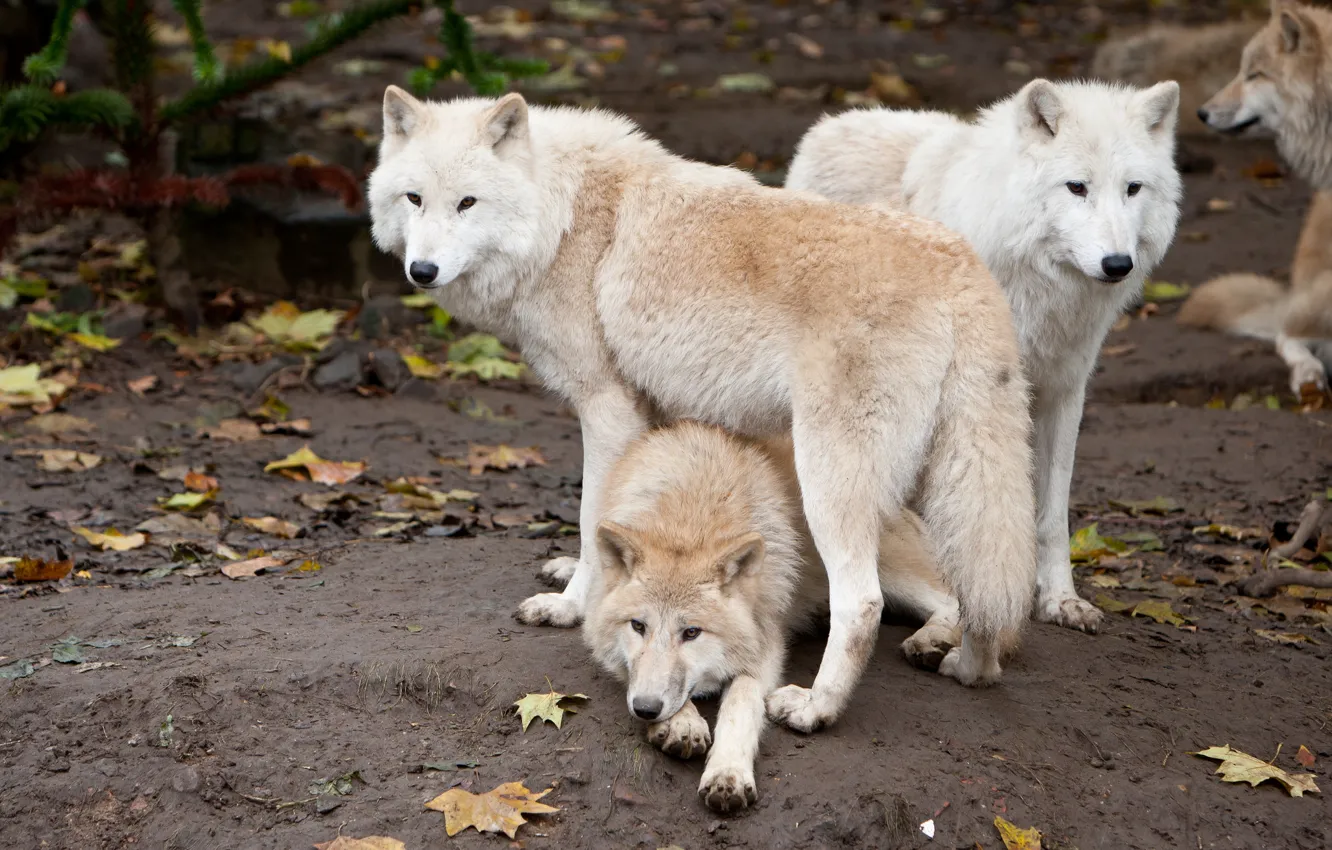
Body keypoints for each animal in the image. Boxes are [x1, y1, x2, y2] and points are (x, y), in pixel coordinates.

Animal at [368, 86, 1037, 732]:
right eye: (415, 198)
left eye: (468, 203)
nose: (421, 270)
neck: (564, 221)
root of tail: (961, 266)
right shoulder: (659, 414)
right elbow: (632, 526)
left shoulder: (607, 409)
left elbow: (590, 516)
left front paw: (571, 605)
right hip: (947, 480)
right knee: (973, 588)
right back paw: (963, 660)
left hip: (832, 481)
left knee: (866, 600)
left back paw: (816, 708)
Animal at [584, 421, 963, 811]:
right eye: (638, 626)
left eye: (691, 632)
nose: (646, 709)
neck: (690, 515)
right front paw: (682, 723)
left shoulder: (765, 647)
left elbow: (741, 704)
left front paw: (728, 772)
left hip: (879, 571)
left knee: (953, 601)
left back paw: (932, 641)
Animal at [786, 78, 1182, 634]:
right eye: (1076, 187)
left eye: (1133, 188)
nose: (1117, 264)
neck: (1040, 288)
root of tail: (834, 122)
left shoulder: (1065, 389)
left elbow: (1052, 515)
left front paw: (1059, 600)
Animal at [1182, 0, 1332, 395]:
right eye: (1244, 71)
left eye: (1255, 75)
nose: (1201, 113)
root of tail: (1292, 293)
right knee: (1286, 335)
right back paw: (1308, 374)